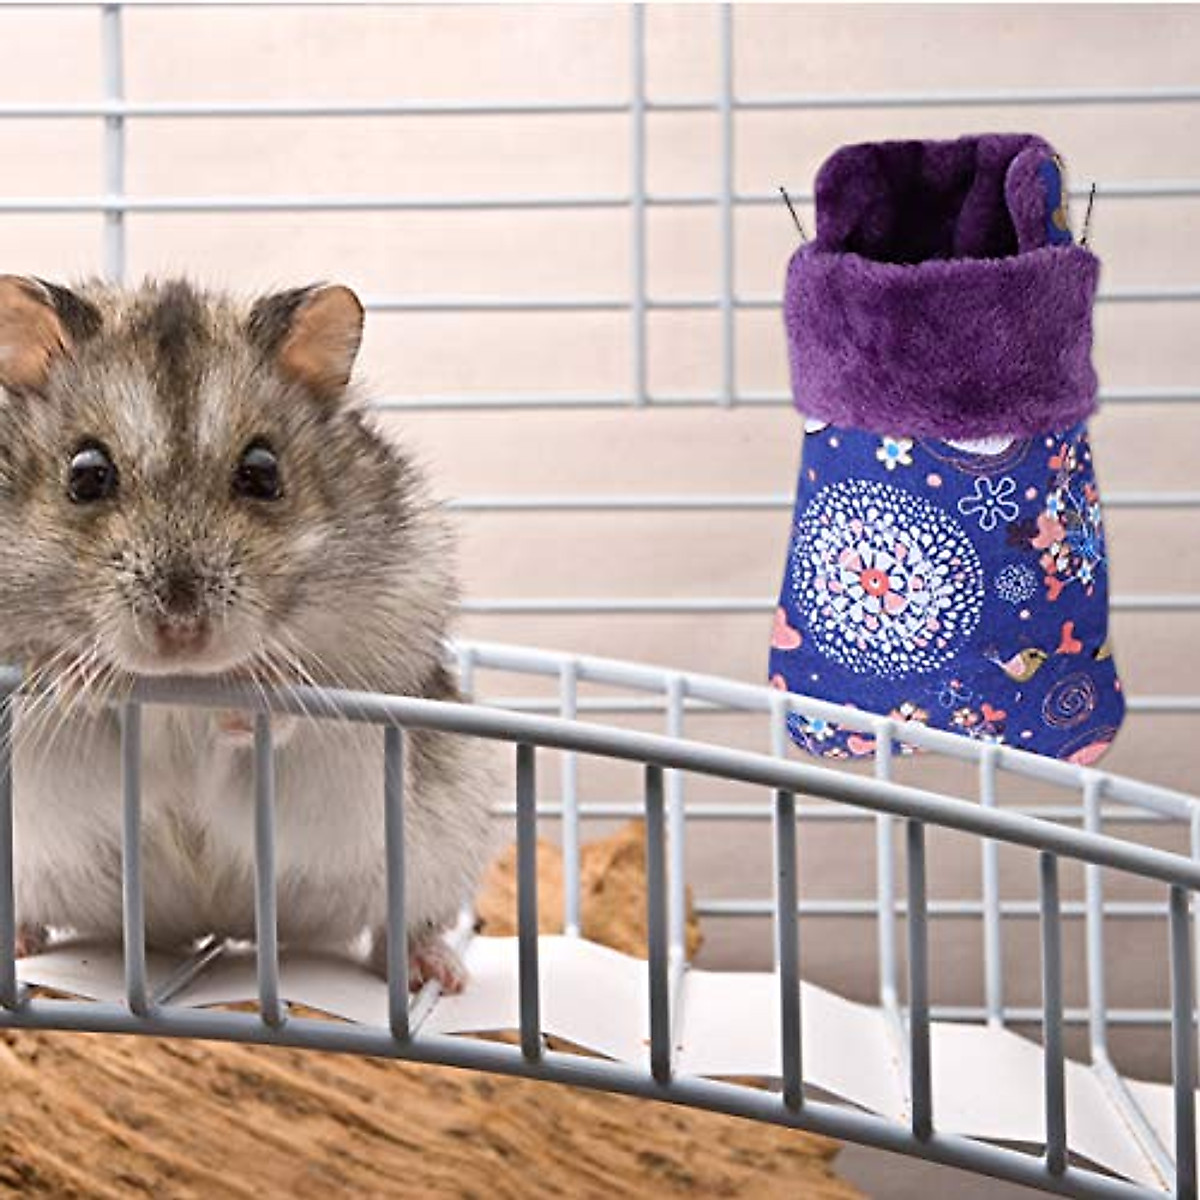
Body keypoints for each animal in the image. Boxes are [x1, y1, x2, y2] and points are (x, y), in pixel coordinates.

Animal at [0, 274, 495, 993]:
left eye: (263, 472)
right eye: (86, 473)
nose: (182, 632)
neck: (181, 686)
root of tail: (218, 928)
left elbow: (297, 709)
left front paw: (252, 690)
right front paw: (76, 677)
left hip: (438, 849)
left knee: (401, 928)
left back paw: (435, 972)